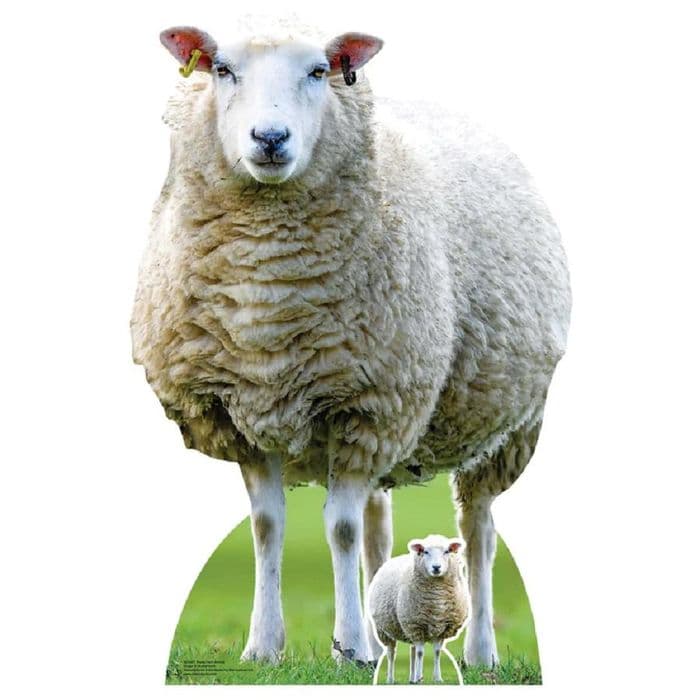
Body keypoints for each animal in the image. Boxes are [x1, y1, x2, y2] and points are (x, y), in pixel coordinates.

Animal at [130, 17, 571, 667]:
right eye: (222, 70)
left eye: (319, 71)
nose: (270, 137)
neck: (268, 300)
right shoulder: (240, 412)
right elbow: (268, 525)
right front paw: (263, 647)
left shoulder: (367, 407)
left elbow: (338, 529)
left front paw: (351, 646)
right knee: (379, 531)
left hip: (507, 428)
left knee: (479, 530)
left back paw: (480, 651)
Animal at [369, 534, 468, 684]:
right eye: (425, 551)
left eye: (447, 551)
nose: (436, 567)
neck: (437, 601)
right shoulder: (416, 625)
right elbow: (421, 653)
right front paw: (420, 677)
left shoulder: (441, 629)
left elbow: (436, 652)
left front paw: (437, 678)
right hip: (385, 630)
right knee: (391, 653)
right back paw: (391, 679)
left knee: (412, 651)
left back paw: (412, 678)